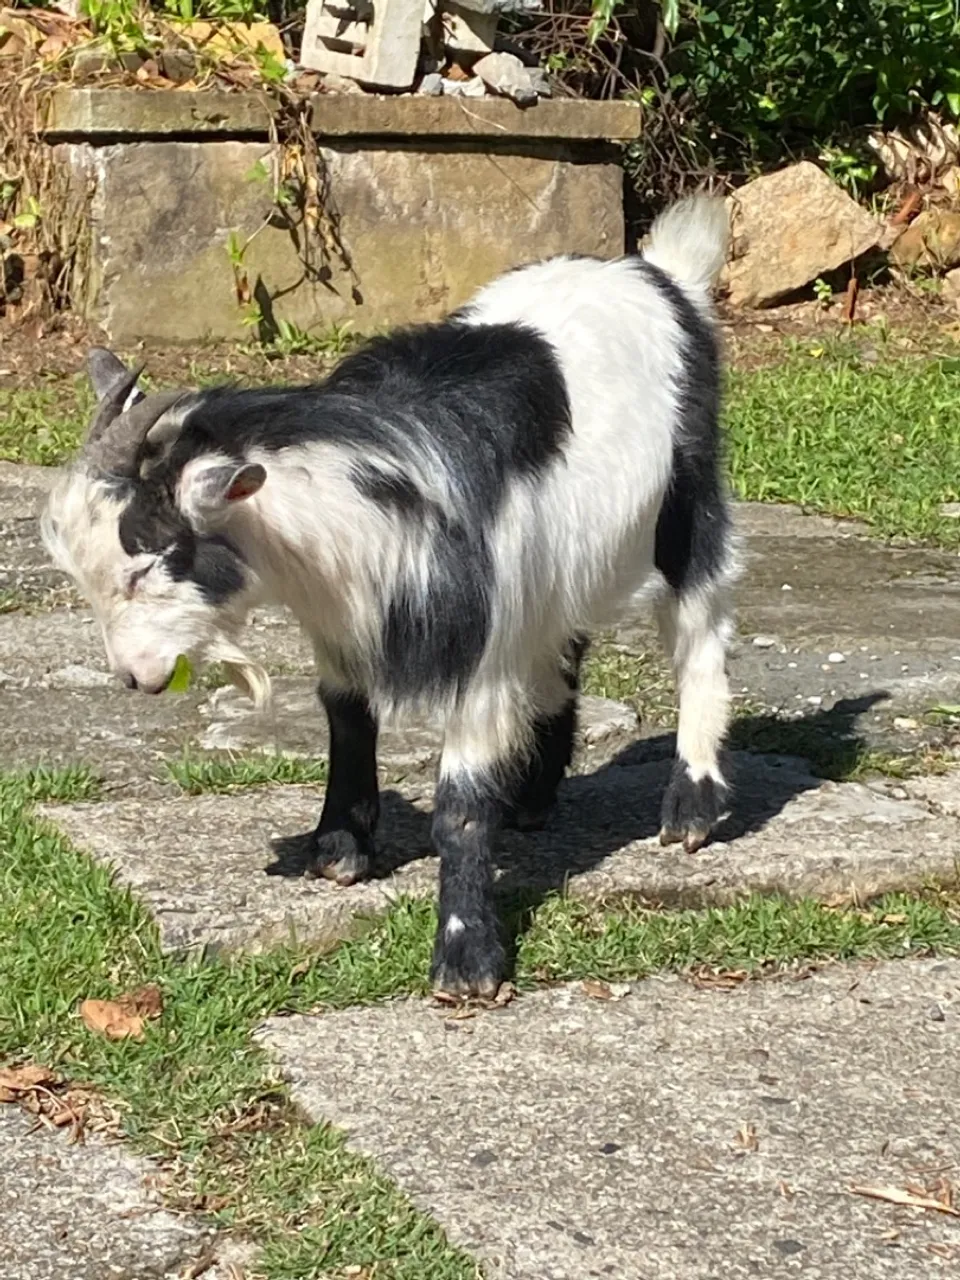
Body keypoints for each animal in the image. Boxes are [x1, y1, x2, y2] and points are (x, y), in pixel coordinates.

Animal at [42, 195, 735, 997]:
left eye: (149, 563)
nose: (136, 677)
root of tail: (661, 276)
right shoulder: (344, 628)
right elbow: (346, 721)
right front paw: (339, 846)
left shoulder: (481, 651)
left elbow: (460, 806)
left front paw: (468, 959)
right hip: (559, 565)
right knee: (562, 642)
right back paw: (533, 796)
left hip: (688, 506)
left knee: (700, 632)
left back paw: (692, 808)